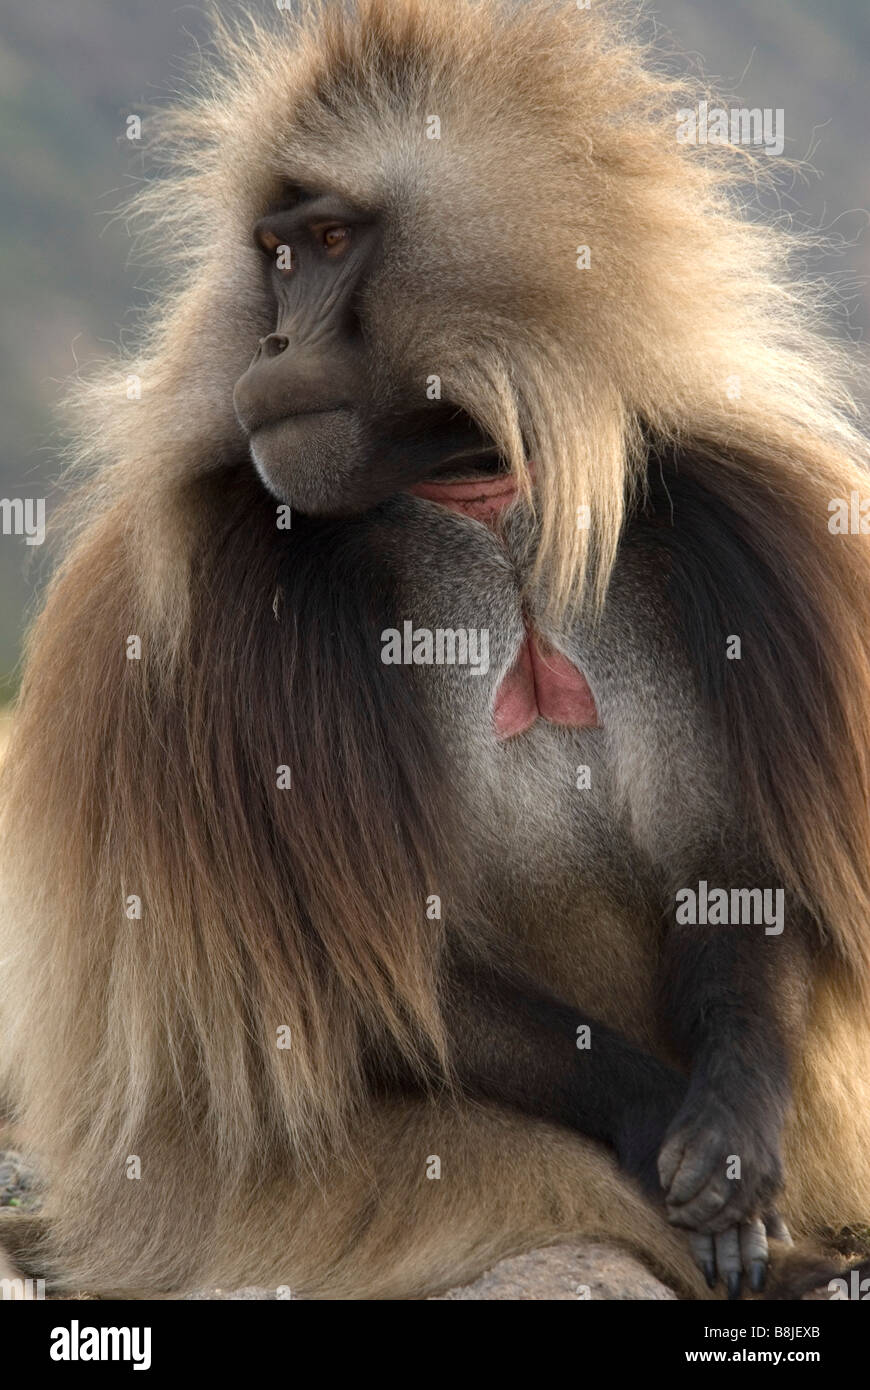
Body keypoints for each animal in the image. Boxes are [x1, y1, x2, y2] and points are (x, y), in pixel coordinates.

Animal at [1, 0, 870, 1302]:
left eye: (330, 239)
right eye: (277, 253)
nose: (270, 341)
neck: (477, 488)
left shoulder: (718, 526)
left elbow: (738, 873)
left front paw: (728, 1134)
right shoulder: (218, 630)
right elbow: (362, 988)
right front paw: (672, 1135)